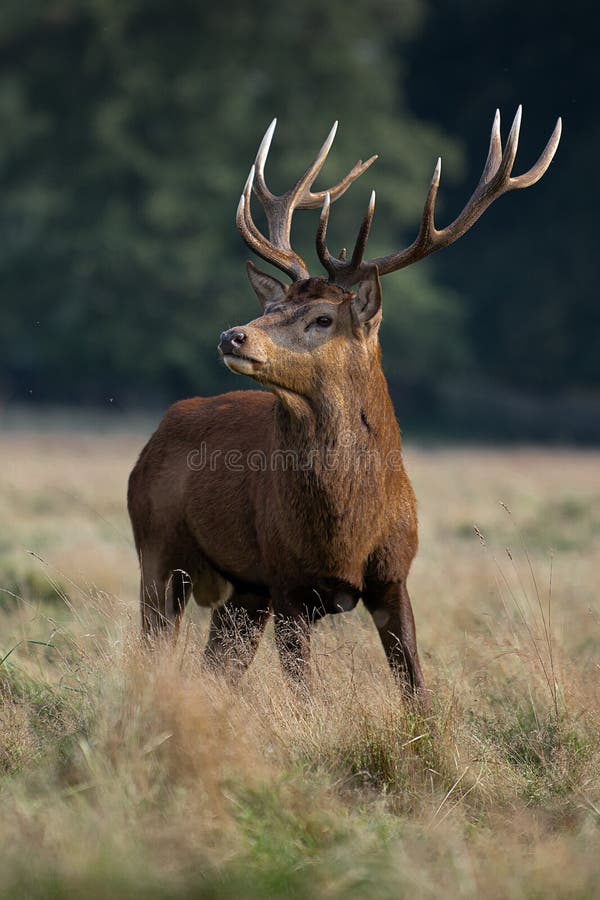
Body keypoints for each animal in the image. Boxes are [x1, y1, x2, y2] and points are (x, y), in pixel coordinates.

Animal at [128, 107, 561, 699]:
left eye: (322, 318)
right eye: (274, 306)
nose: (232, 336)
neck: (345, 533)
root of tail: (157, 434)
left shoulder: (394, 576)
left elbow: (415, 688)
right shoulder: (287, 580)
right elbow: (307, 695)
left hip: (242, 590)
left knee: (217, 667)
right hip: (157, 552)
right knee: (159, 649)